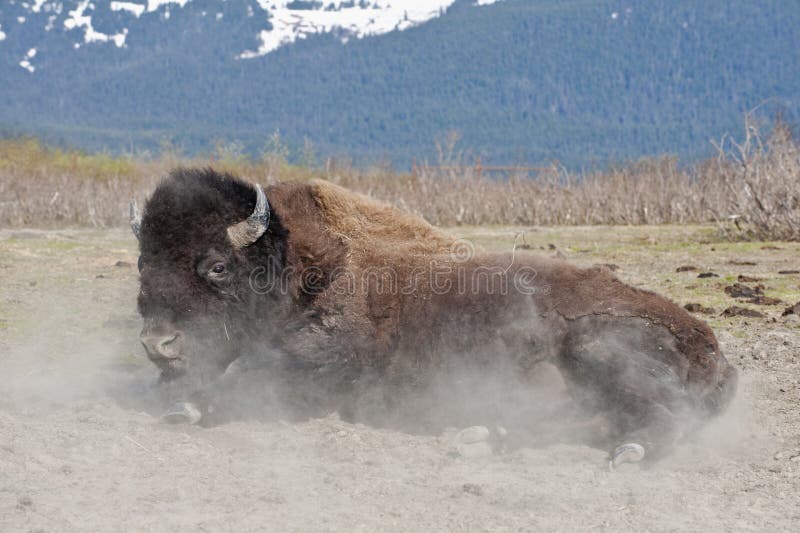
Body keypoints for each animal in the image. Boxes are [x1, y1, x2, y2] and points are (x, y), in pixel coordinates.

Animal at [130, 168, 737, 468]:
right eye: (143, 262)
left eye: (216, 265)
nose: (158, 344)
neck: (296, 263)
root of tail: (711, 346)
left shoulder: (316, 365)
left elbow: (239, 383)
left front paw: (185, 409)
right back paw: (483, 436)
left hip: (598, 347)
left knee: (663, 418)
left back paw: (626, 454)